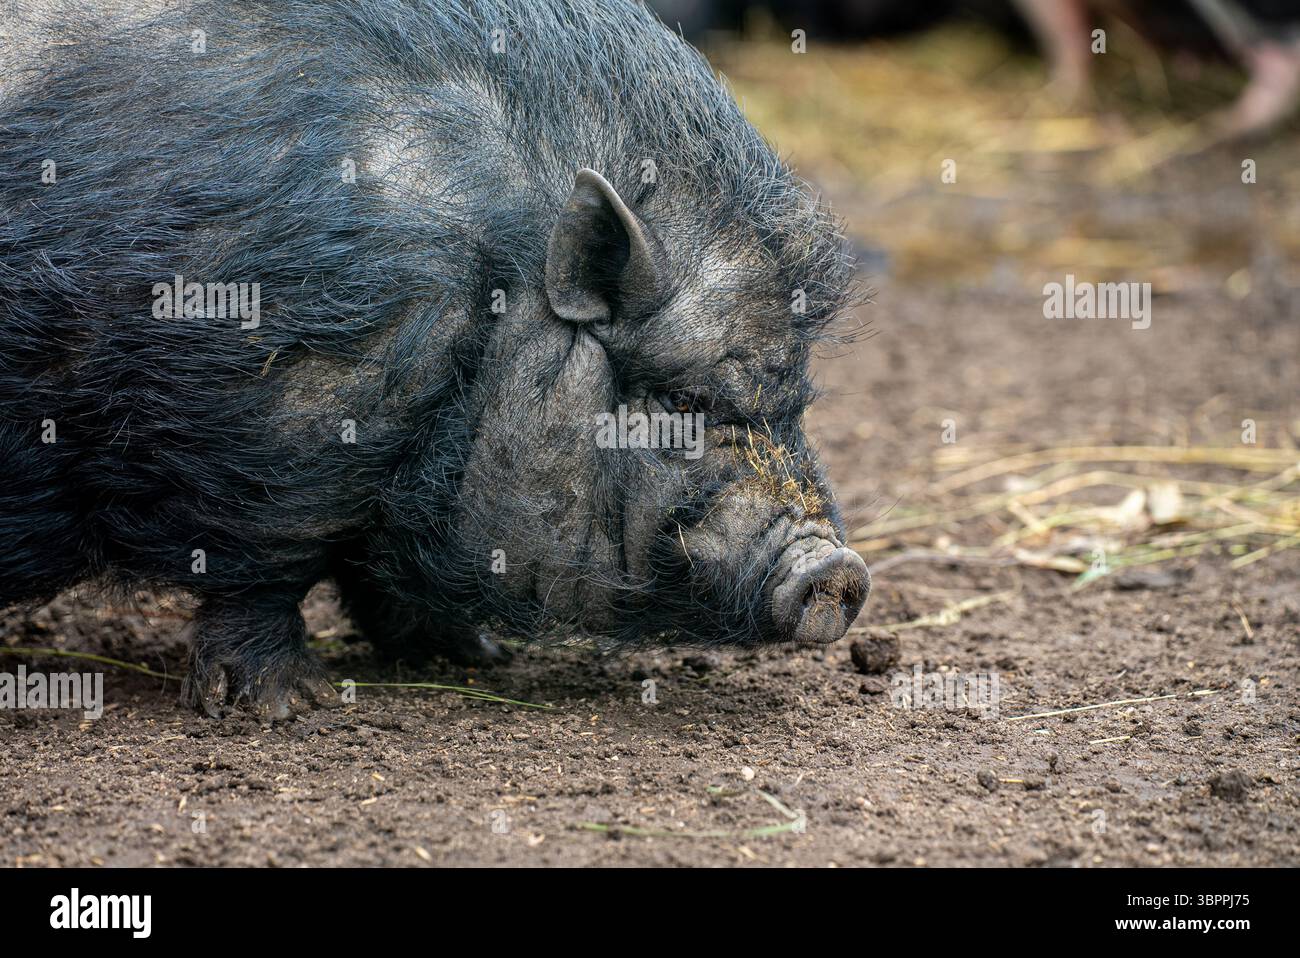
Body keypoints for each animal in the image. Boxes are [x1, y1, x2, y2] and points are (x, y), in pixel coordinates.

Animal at [0, 0, 870, 718]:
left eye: (795, 401)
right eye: (685, 400)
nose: (841, 571)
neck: (491, 291)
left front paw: (473, 656)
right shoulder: (275, 428)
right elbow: (265, 570)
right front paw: (289, 709)